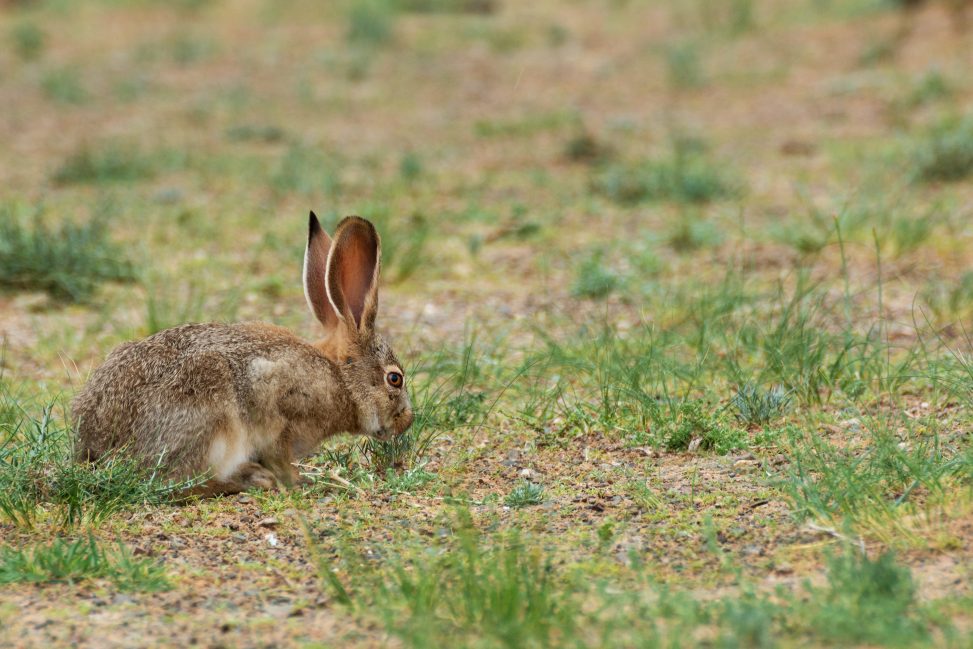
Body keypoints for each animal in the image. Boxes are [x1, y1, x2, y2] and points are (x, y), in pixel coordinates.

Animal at [72, 213, 414, 496]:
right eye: (394, 379)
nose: (407, 422)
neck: (340, 378)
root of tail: (93, 449)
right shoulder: (277, 403)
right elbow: (280, 455)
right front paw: (299, 481)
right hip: (211, 417)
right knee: (174, 482)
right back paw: (249, 480)